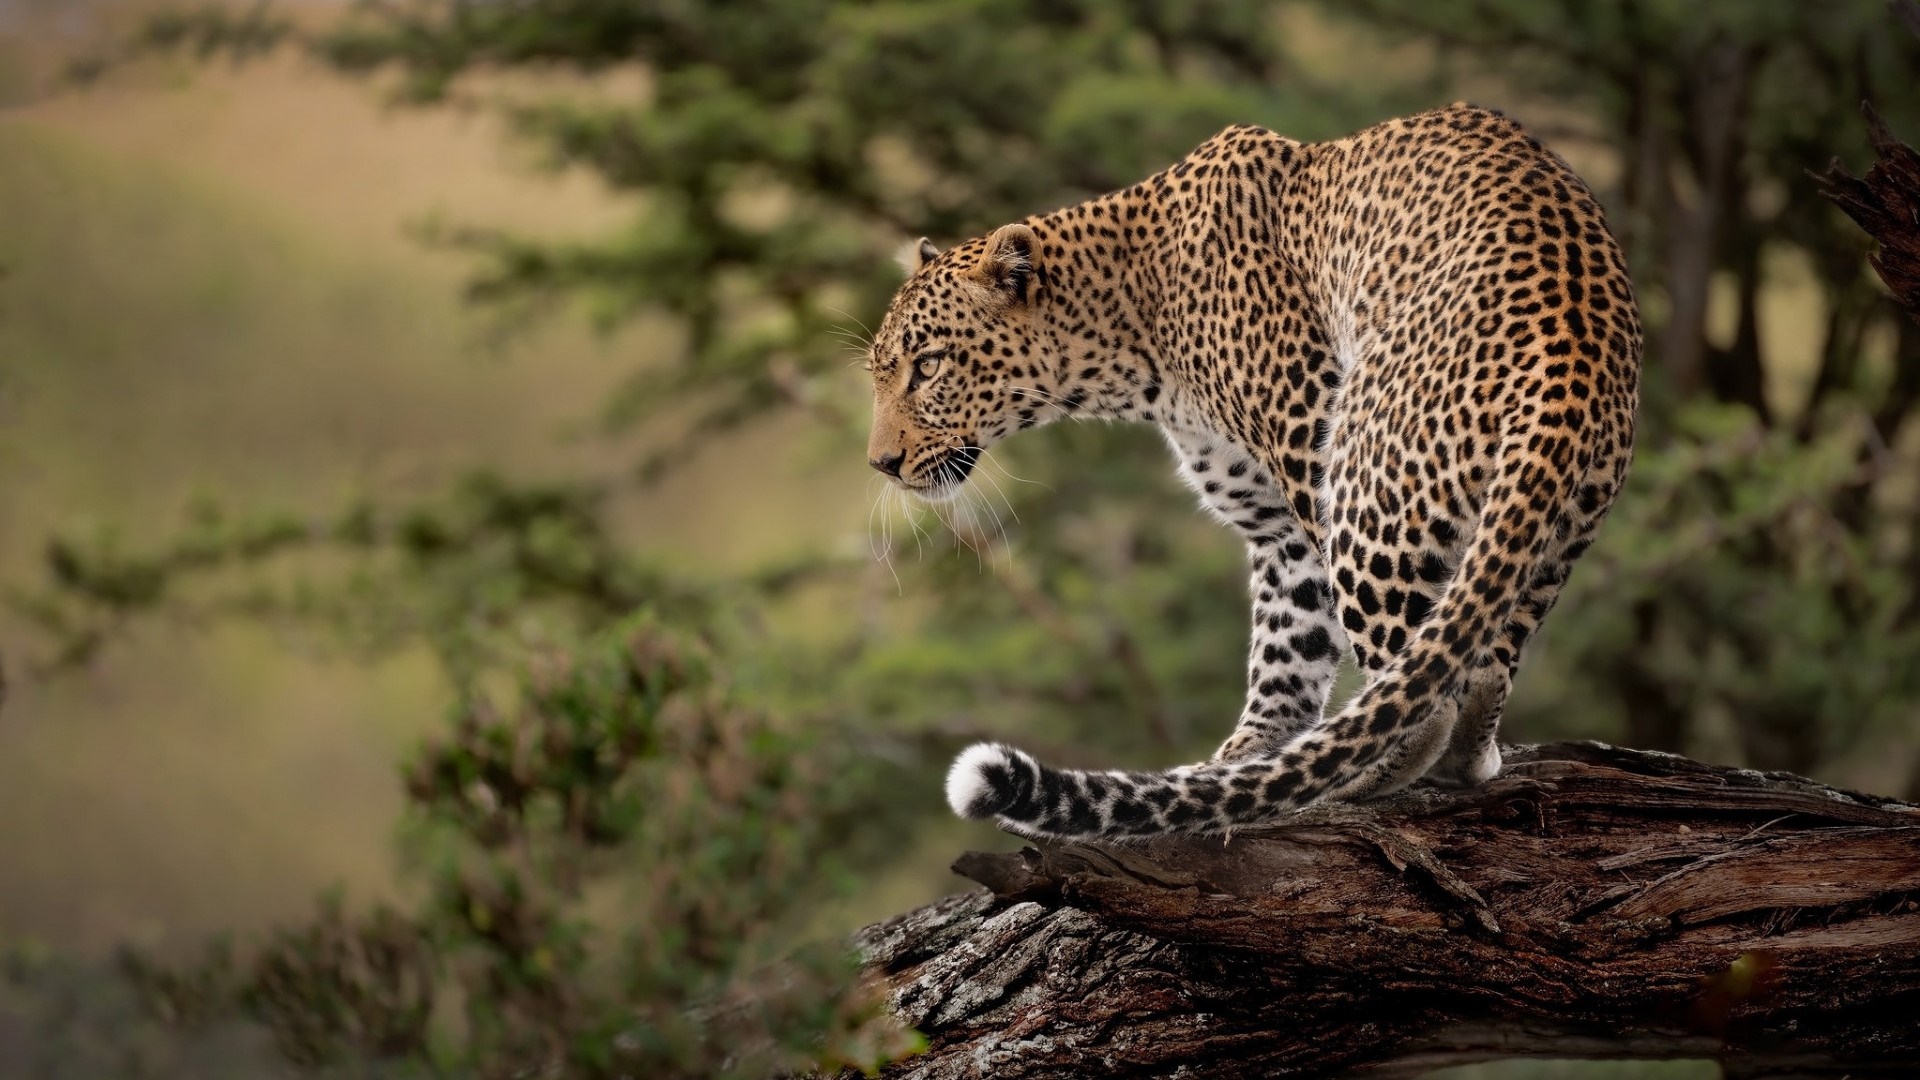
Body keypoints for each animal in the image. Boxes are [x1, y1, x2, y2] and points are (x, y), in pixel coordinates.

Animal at [862, 103, 1641, 841]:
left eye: (928, 366)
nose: (881, 463)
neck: (1130, 339)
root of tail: (1576, 359)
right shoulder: (1277, 526)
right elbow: (1288, 643)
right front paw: (1242, 762)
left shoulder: (1304, 440)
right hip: (1549, 532)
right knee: (1481, 677)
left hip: (1363, 475)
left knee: (1425, 695)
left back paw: (1361, 776)